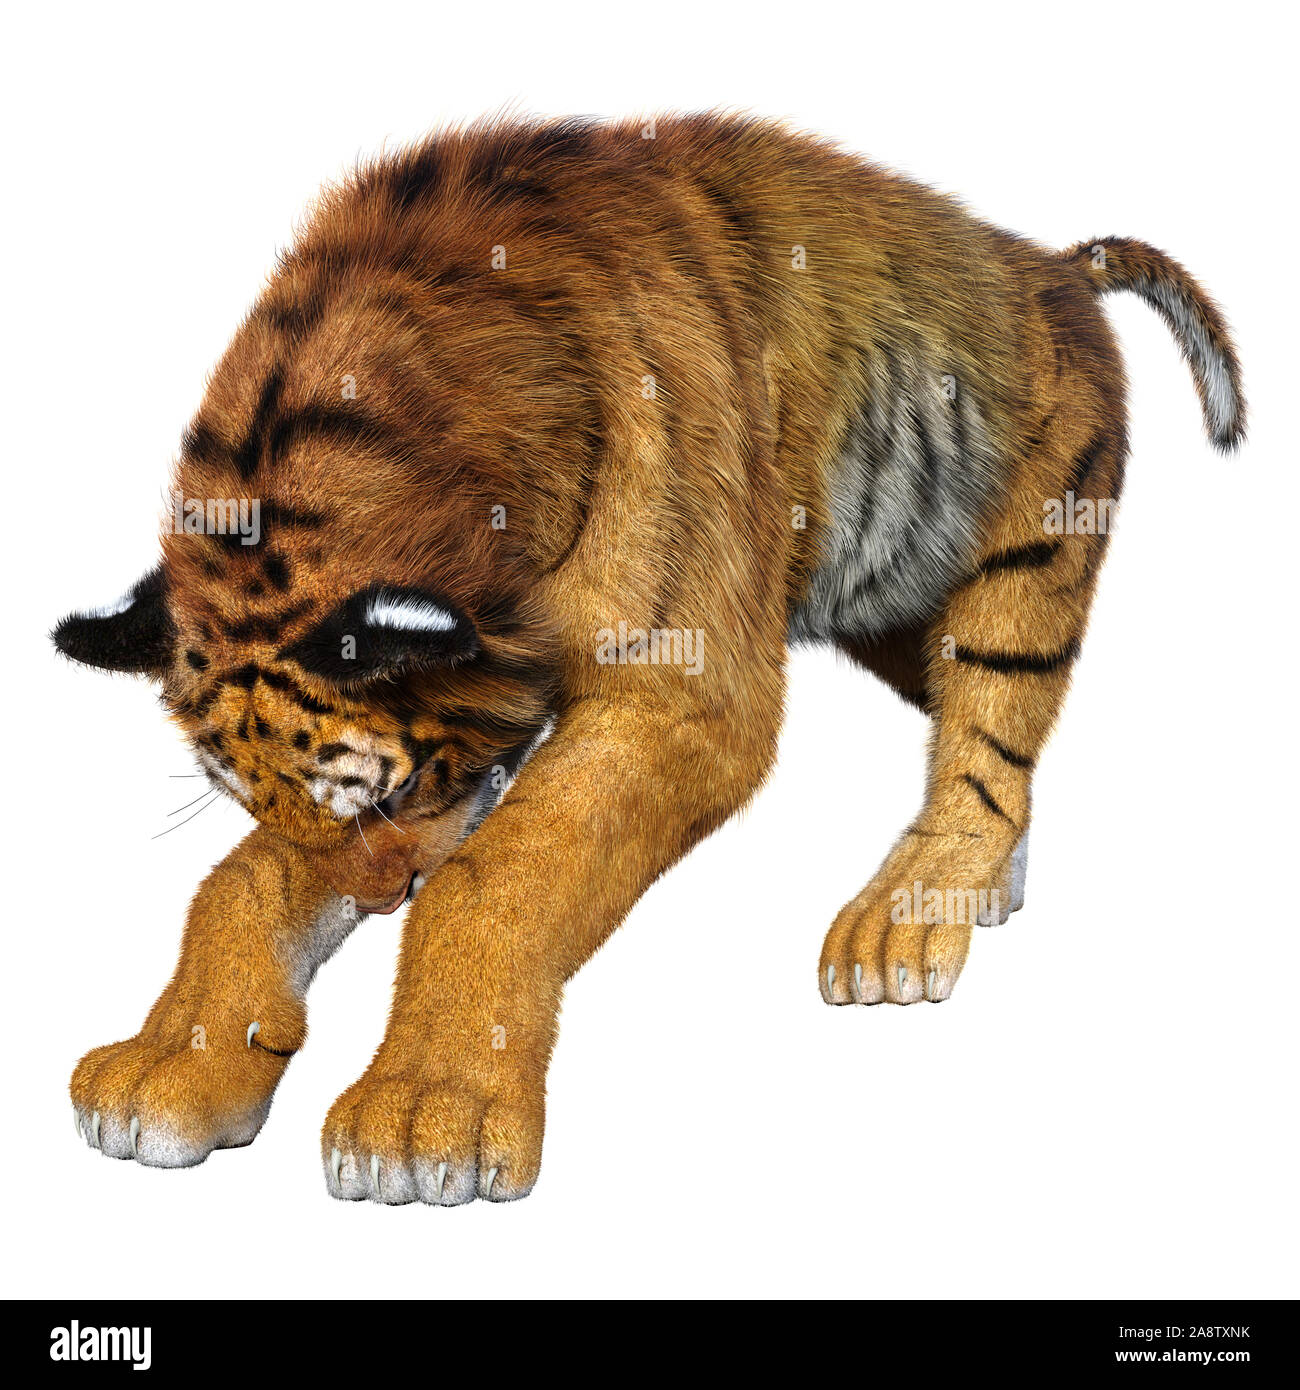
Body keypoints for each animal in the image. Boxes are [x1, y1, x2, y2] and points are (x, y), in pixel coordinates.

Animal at [53, 113, 1244, 1205]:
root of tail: (1056, 263)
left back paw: (905, 922)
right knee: (972, 729)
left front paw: (425, 1118)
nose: (382, 894)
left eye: (381, 801)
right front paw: (168, 1071)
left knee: (990, 738)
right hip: (890, 599)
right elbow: (239, 884)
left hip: (1024, 552)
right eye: (271, 804)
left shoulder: (680, 692)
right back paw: (982, 889)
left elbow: (495, 881)